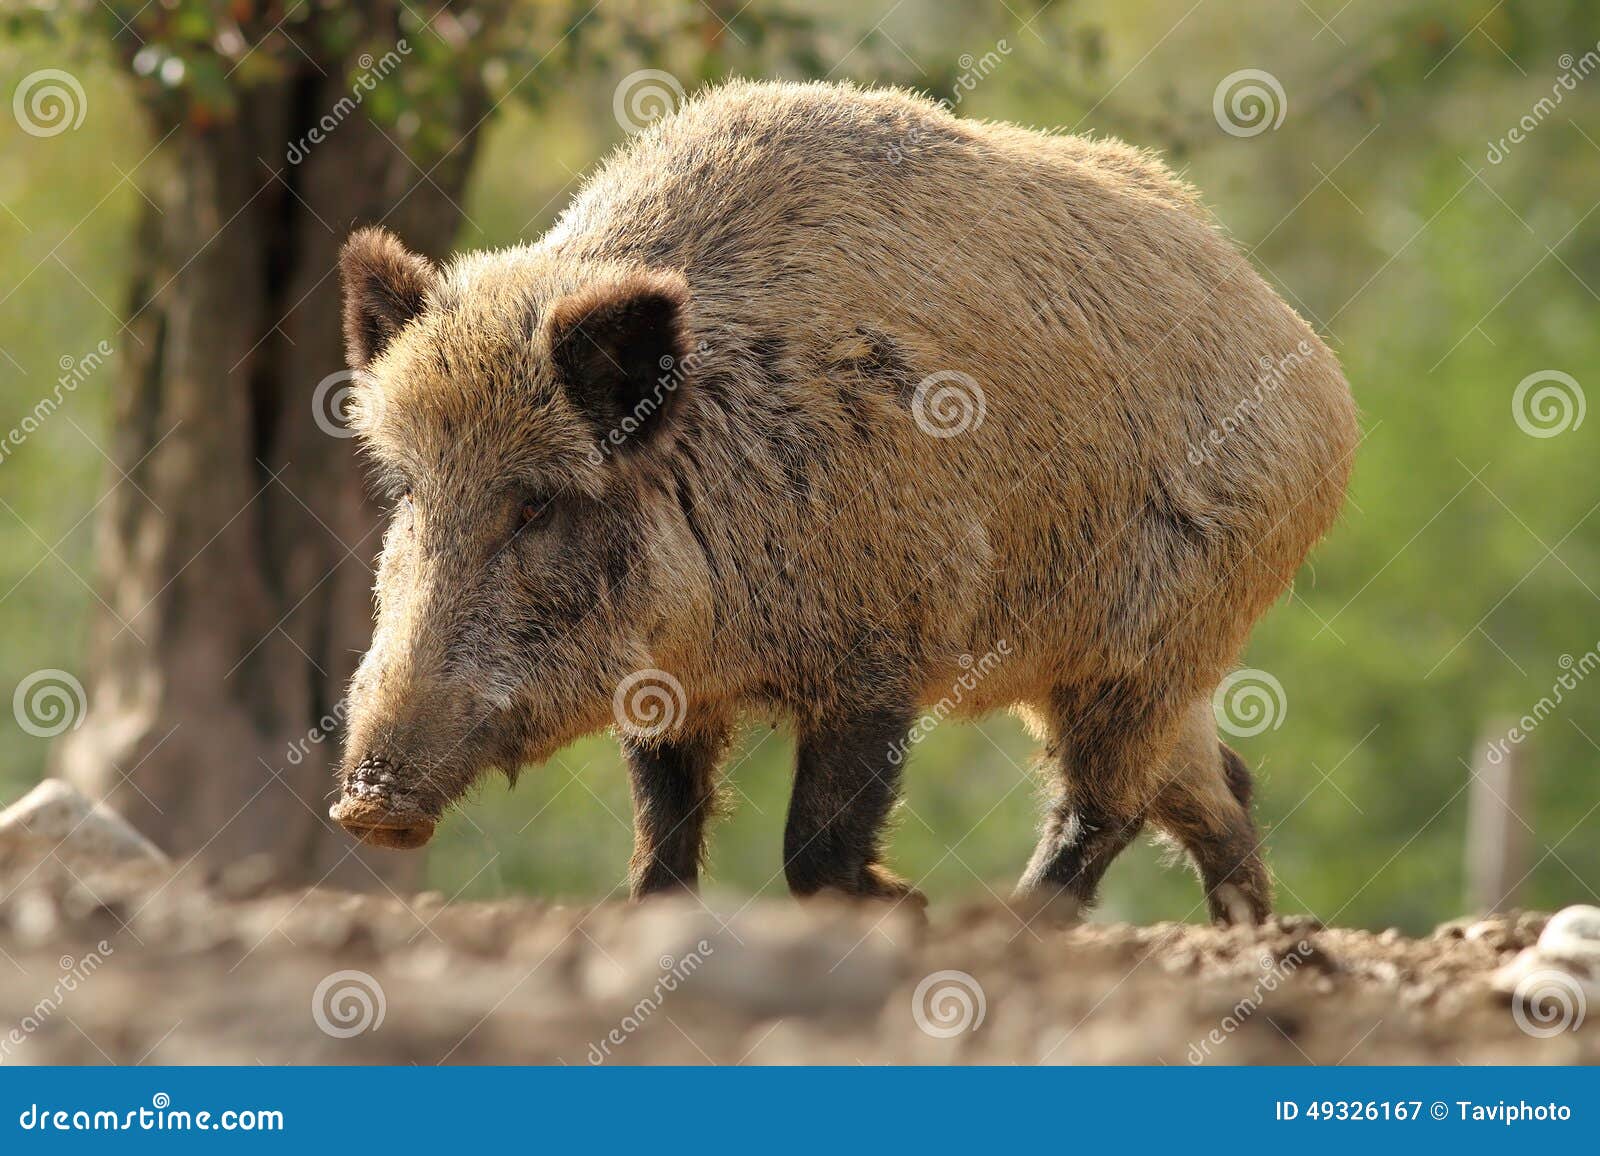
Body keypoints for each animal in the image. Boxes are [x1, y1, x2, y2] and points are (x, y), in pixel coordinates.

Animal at [329, 79, 1356, 923]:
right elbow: (664, 835)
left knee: (1108, 802)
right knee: (1216, 783)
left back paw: (1013, 922)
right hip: (1107, 662)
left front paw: (906, 902)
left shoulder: (885, 644)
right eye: (411, 489)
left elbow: (814, 847)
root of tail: (1320, 378)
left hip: (1161, 639)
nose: (365, 805)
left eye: (537, 503)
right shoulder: (671, 686)